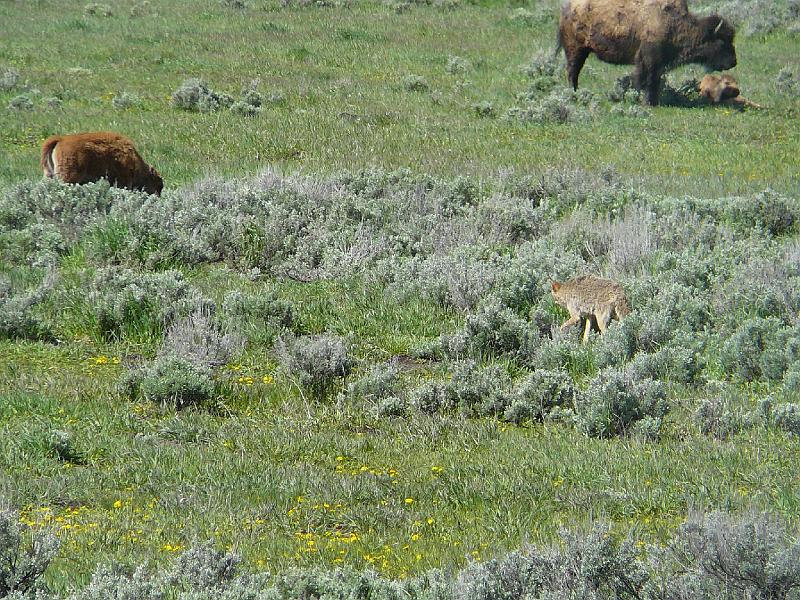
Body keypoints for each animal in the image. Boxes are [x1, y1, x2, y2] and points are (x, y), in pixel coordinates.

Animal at [558, 0, 737, 105]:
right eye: (722, 41)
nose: (733, 62)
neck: (673, 22)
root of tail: (568, 7)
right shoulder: (649, 60)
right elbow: (647, 80)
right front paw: (647, 102)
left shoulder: (658, 64)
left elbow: (654, 81)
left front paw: (653, 101)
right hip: (576, 50)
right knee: (572, 72)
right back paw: (573, 94)